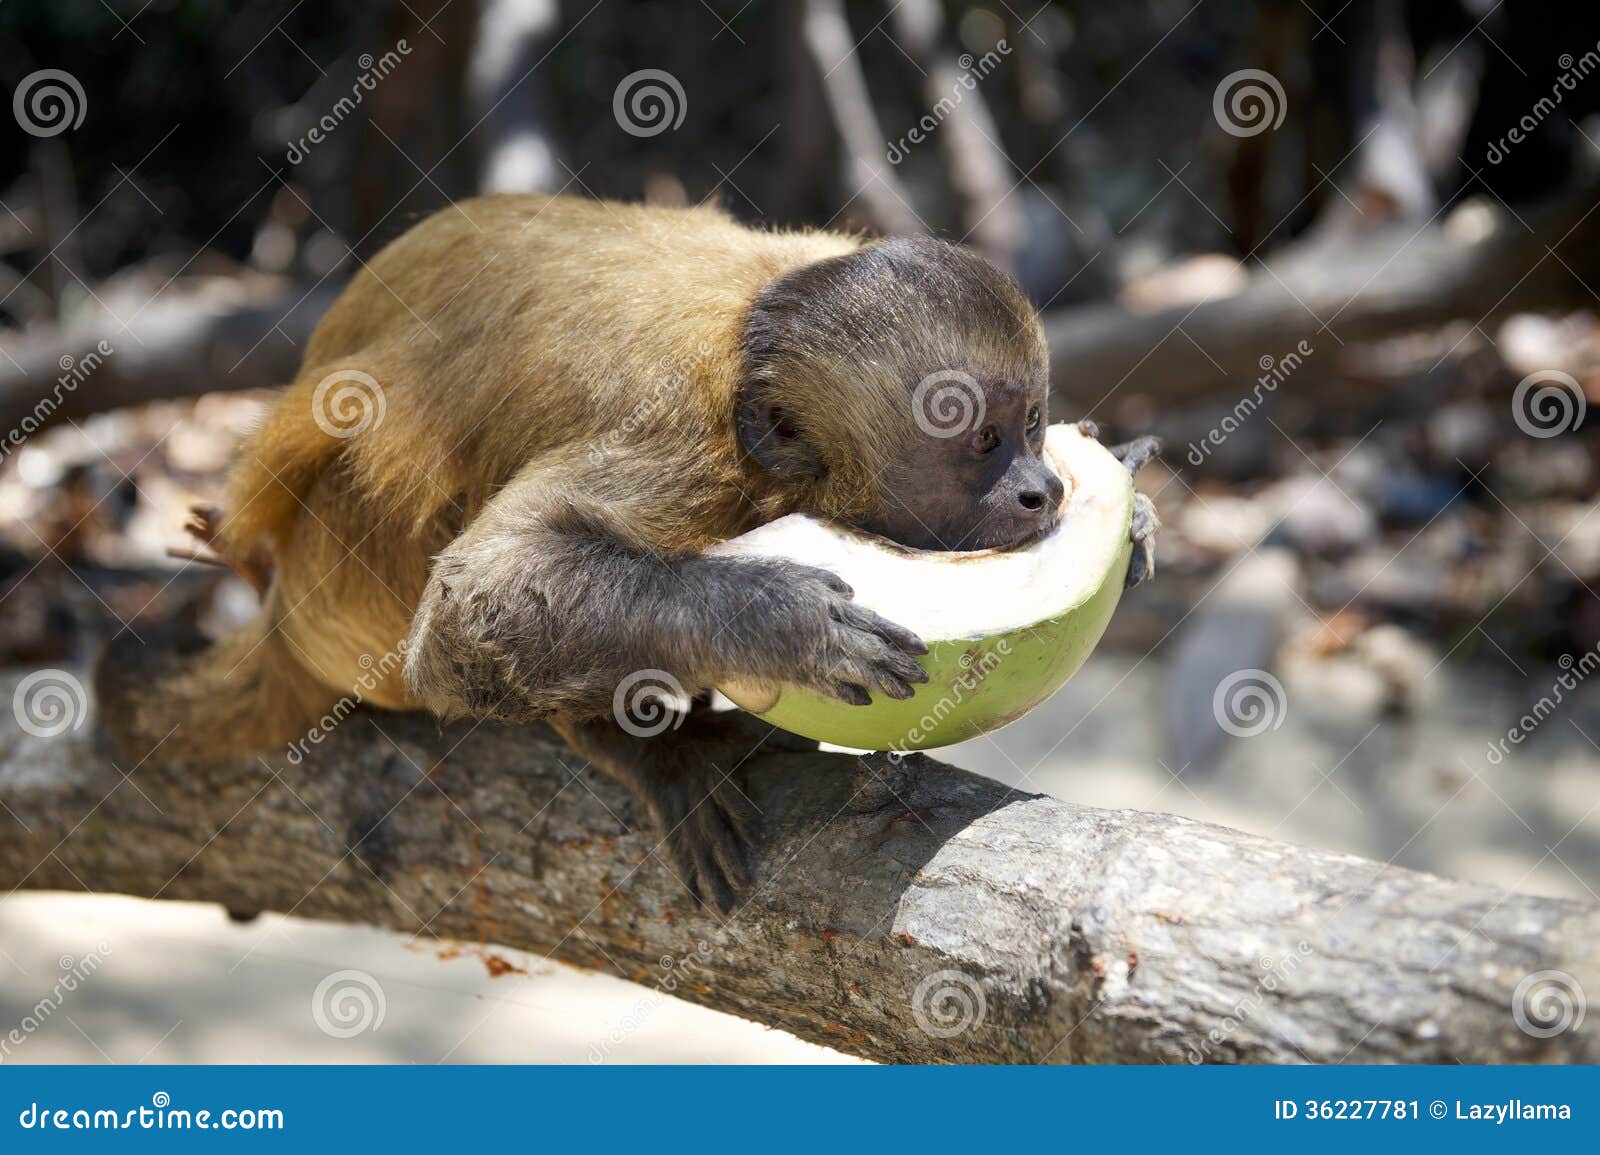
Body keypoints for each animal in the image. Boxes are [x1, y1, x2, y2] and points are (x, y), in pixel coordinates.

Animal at [95, 194, 1159, 911]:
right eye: (984, 445)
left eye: (1033, 425)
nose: (1043, 489)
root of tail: (276, 599)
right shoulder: (683, 448)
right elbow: (475, 603)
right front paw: (779, 623)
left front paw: (1137, 510)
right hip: (343, 585)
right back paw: (635, 747)